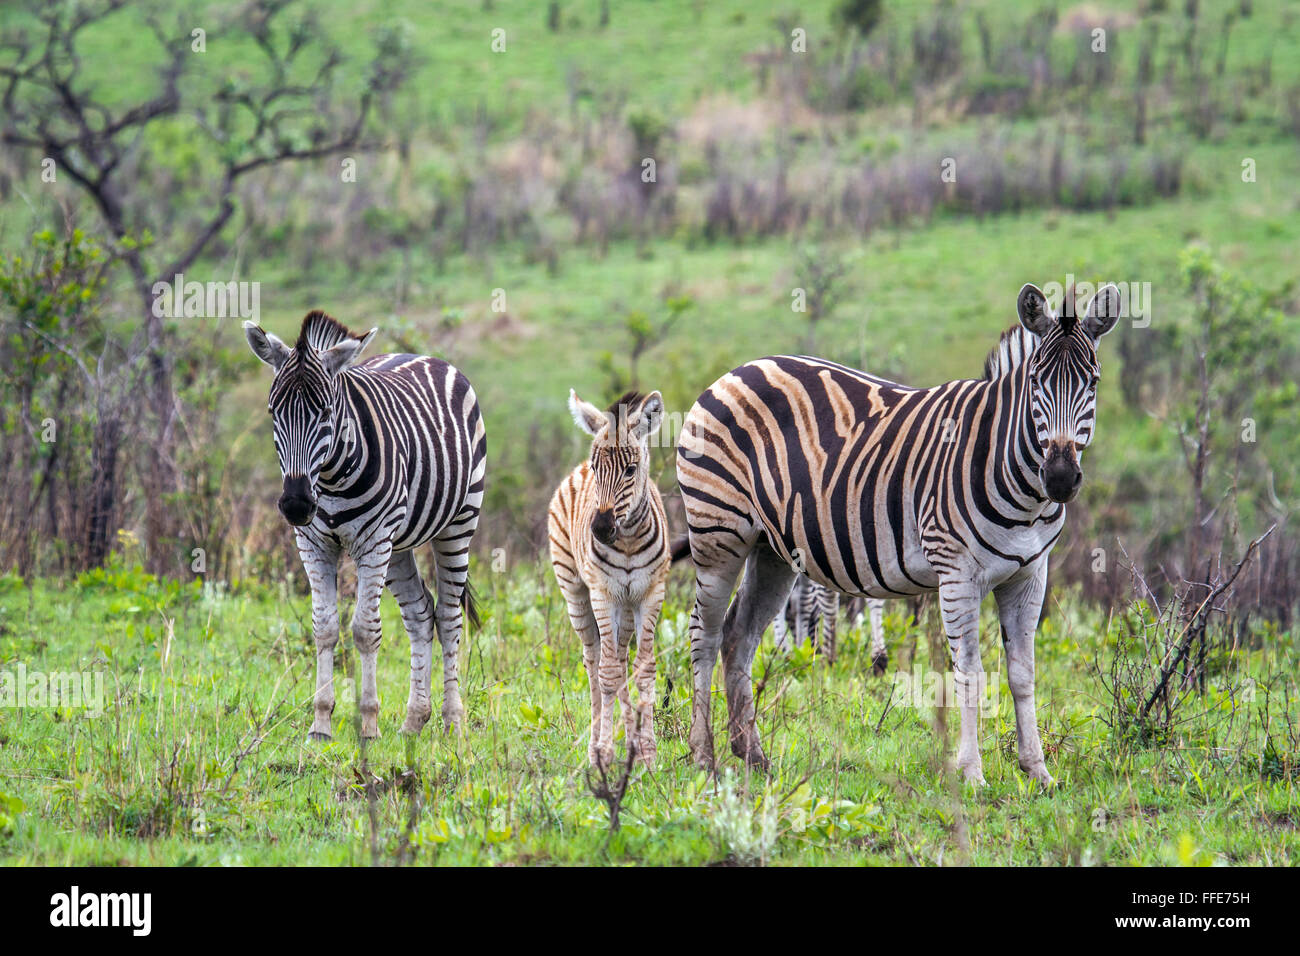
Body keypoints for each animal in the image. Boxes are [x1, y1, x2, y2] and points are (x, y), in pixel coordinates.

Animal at [243, 311, 486, 741]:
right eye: (273, 411)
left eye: (326, 411)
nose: (295, 504)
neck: (331, 478)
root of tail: (424, 356)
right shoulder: (313, 543)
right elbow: (324, 628)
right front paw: (321, 724)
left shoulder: (373, 542)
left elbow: (364, 630)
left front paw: (369, 723)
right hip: (399, 544)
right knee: (420, 613)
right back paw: (414, 720)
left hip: (458, 523)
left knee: (448, 617)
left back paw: (453, 721)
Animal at [548, 390, 669, 769]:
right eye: (597, 468)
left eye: (631, 469)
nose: (600, 529)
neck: (627, 539)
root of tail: (573, 471)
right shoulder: (602, 593)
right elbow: (608, 674)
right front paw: (602, 753)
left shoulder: (651, 593)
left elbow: (643, 670)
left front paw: (647, 755)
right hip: (575, 591)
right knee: (594, 662)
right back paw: (596, 747)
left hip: (626, 607)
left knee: (620, 657)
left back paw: (630, 740)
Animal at [676, 283, 1121, 784]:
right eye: (1035, 383)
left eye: (1093, 383)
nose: (1061, 478)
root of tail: (737, 371)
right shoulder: (956, 572)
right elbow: (970, 671)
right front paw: (972, 774)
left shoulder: (1030, 574)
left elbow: (1023, 673)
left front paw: (1037, 772)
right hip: (718, 533)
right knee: (705, 634)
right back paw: (704, 757)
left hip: (772, 550)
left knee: (739, 636)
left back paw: (752, 755)